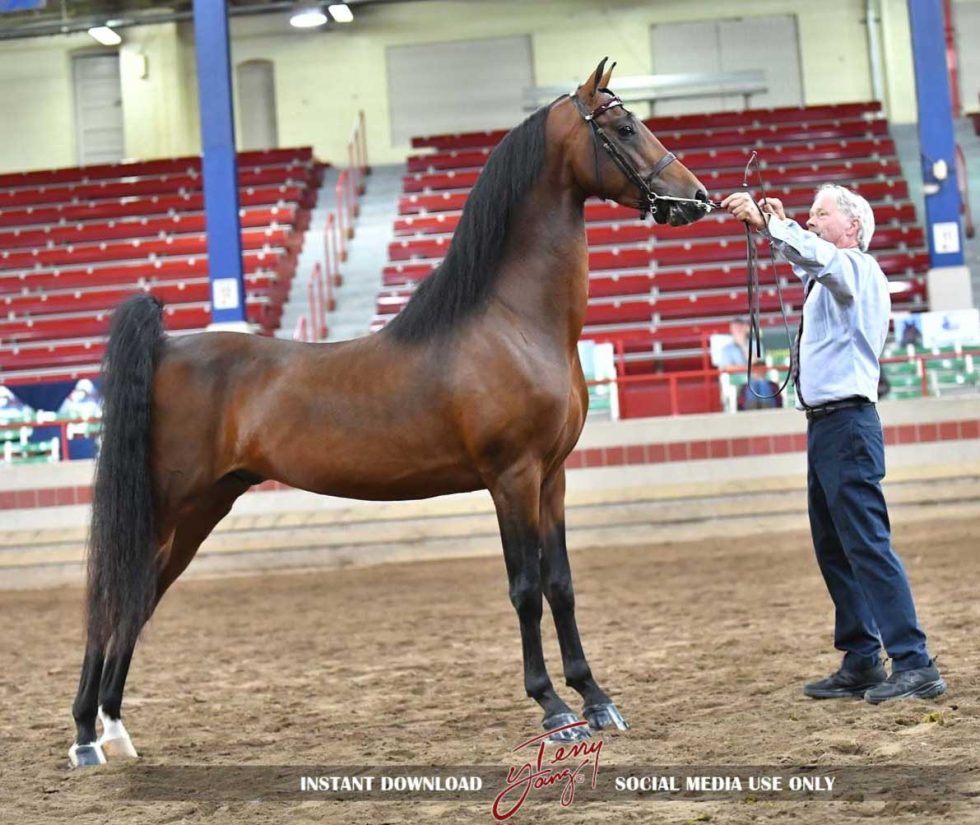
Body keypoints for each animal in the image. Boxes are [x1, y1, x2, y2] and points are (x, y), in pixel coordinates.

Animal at [69, 58, 710, 767]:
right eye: (624, 127)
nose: (697, 198)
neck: (514, 323)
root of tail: (166, 347)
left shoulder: (552, 477)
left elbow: (561, 585)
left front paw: (596, 699)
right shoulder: (511, 478)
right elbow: (524, 589)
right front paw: (554, 708)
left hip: (202, 507)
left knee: (138, 596)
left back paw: (113, 728)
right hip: (165, 504)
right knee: (112, 593)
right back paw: (85, 737)